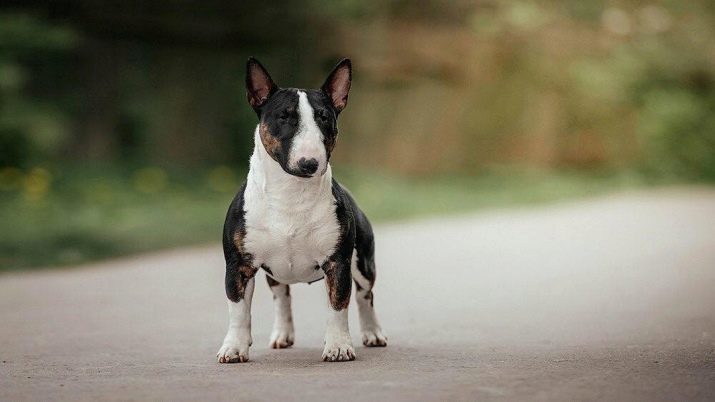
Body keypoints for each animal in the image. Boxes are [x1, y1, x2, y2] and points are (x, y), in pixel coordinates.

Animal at [217, 58, 386, 362]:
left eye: (324, 117)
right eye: (284, 117)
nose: (310, 163)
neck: (291, 194)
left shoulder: (338, 263)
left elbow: (338, 306)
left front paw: (338, 346)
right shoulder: (239, 265)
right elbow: (238, 311)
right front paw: (234, 347)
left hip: (363, 262)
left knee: (364, 295)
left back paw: (372, 333)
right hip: (275, 272)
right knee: (281, 296)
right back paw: (282, 335)